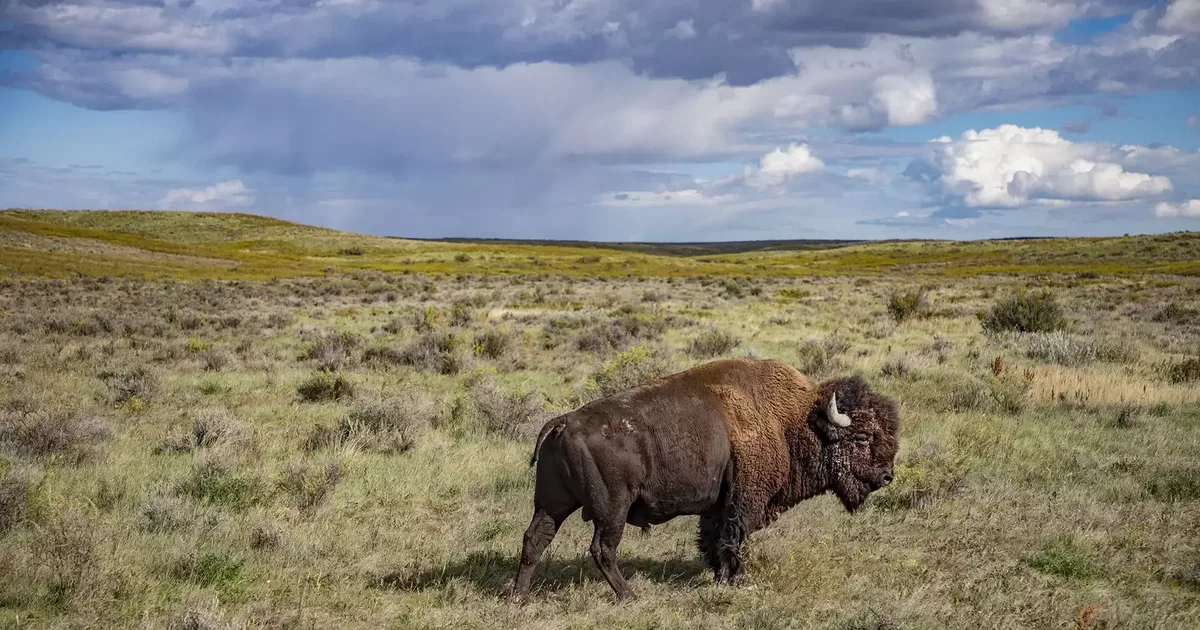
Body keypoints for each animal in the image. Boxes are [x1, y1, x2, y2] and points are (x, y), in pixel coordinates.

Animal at [508, 357, 900, 602]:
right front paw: (735, 579)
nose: (886, 476)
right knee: (602, 549)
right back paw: (629, 596)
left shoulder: (717, 505)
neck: (793, 421)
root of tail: (563, 422)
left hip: (553, 504)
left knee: (535, 540)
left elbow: (713, 538)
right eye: (862, 437)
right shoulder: (741, 503)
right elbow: (730, 539)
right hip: (611, 509)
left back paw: (519, 598)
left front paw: (719, 575)